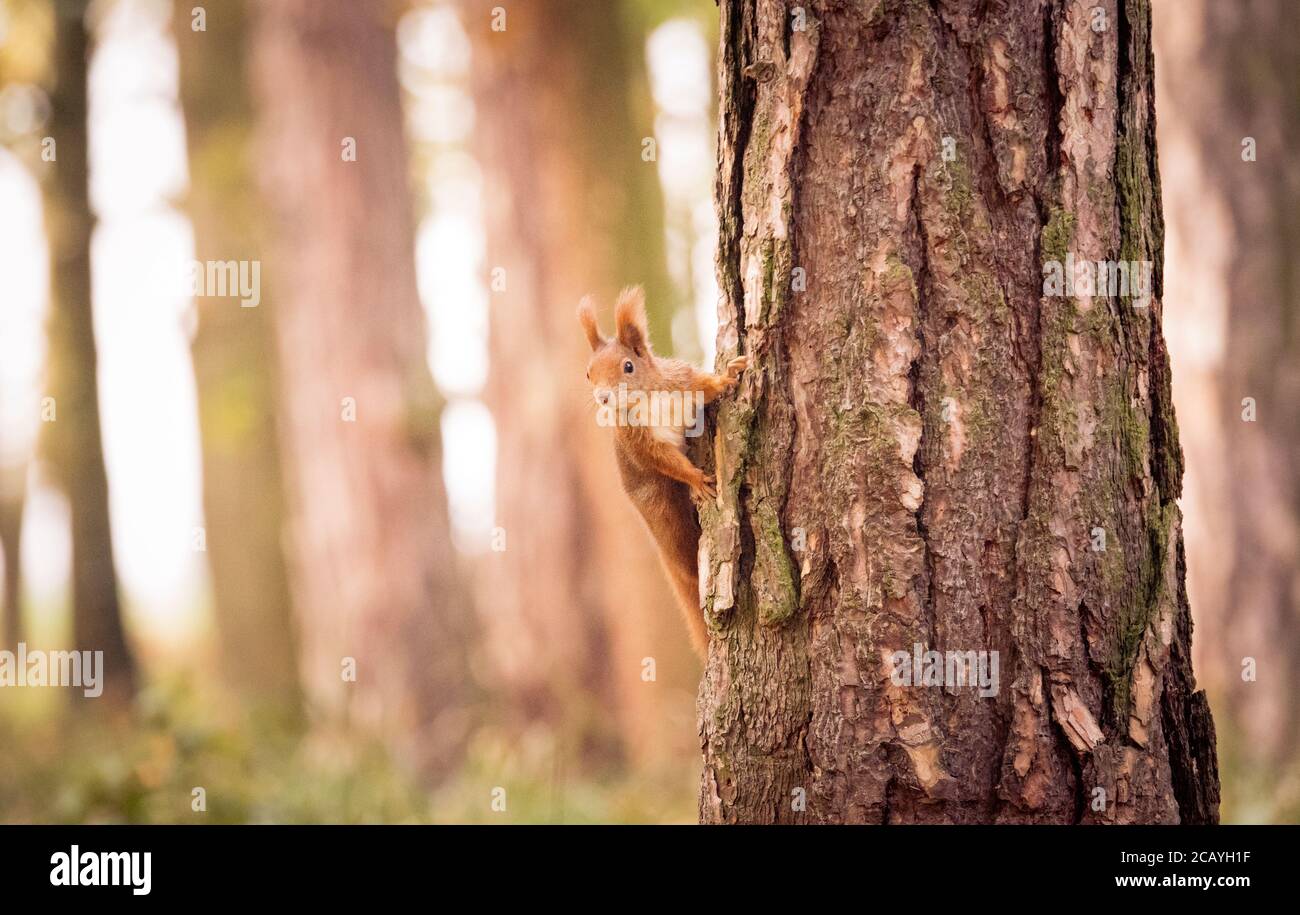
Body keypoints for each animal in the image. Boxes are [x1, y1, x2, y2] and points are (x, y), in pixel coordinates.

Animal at [578, 286, 748, 657]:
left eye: (628, 366)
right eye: (588, 373)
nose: (603, 398)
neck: (648, 398)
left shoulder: (683, 382)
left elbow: (709, 387)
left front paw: (731, 375)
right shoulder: (639, 442)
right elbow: (666, 461)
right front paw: (697, 479)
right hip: (664, 512)